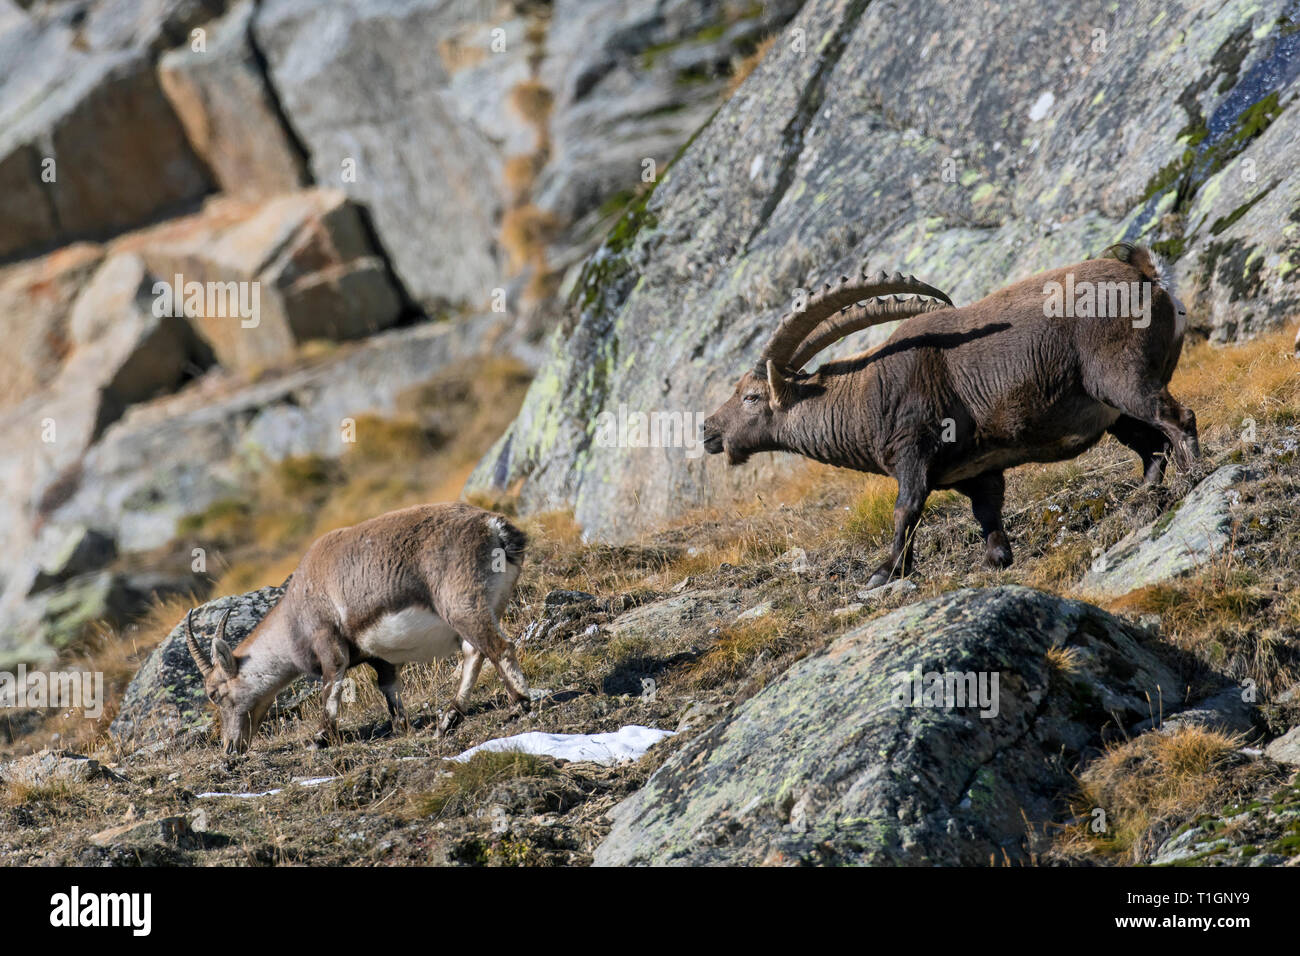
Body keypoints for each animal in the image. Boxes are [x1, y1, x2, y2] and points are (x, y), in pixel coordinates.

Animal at [185, 502, 530, 753]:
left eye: (215, 693)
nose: (230, 748)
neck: (295, 614)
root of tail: (494, 528)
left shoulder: (328, 643)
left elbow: (331, 687)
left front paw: (321, 737)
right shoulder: (381, 658)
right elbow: (389, 689)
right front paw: (401, 727)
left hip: (461, 605)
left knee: (499, 647)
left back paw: (519, 703)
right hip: (488, 605)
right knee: (475, 652)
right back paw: (449, 719)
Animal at [701, 242, 1198, 589]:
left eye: (750, 397)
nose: (708, 430)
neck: (867, 396)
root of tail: (1151, 279)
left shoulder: (914, 449)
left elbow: (906, 508)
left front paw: (886, 571)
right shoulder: (977, 470)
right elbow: (987, 511)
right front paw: (995, 559)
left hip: (1122, 378)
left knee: (1179, 419)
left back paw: (1193, 477)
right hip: (1110, 410)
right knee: (1152, 445)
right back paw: (1145, 497)